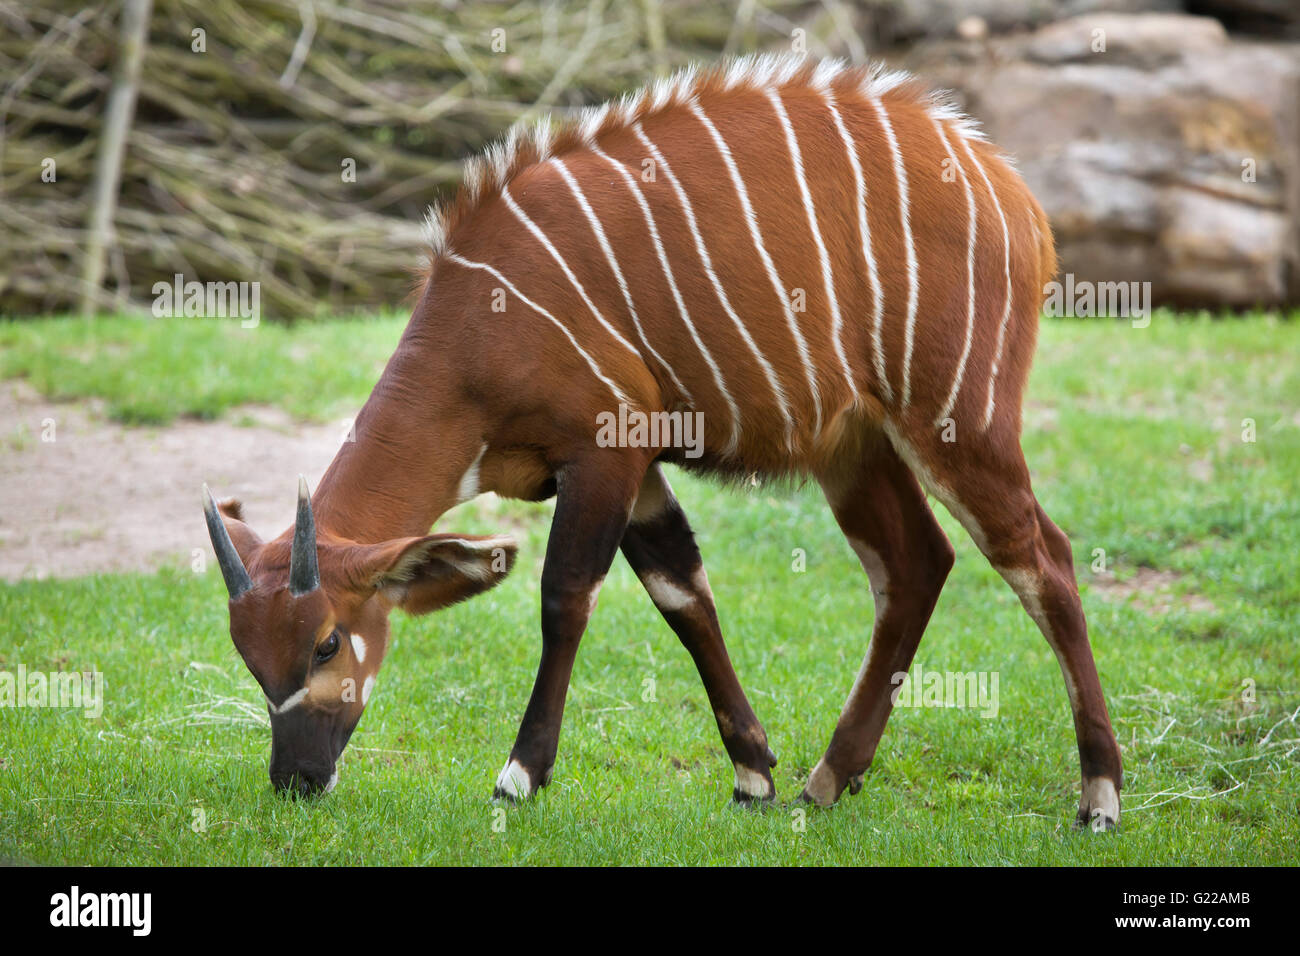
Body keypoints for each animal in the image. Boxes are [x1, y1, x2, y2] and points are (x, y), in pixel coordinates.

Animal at [204, 54, 1122, 829]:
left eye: (327, 640)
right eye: (249, 658)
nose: (297, 779)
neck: (477, 328)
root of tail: (1014, 195)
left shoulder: (605, 449)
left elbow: (566, 596)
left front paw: (519, 775)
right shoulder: (637, 466)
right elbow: (682, 593)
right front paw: (754, 774)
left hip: (957, 419)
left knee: (1042, 557)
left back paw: (1100, 795)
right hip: (854, 445)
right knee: (916, 563)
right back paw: (828, 779)